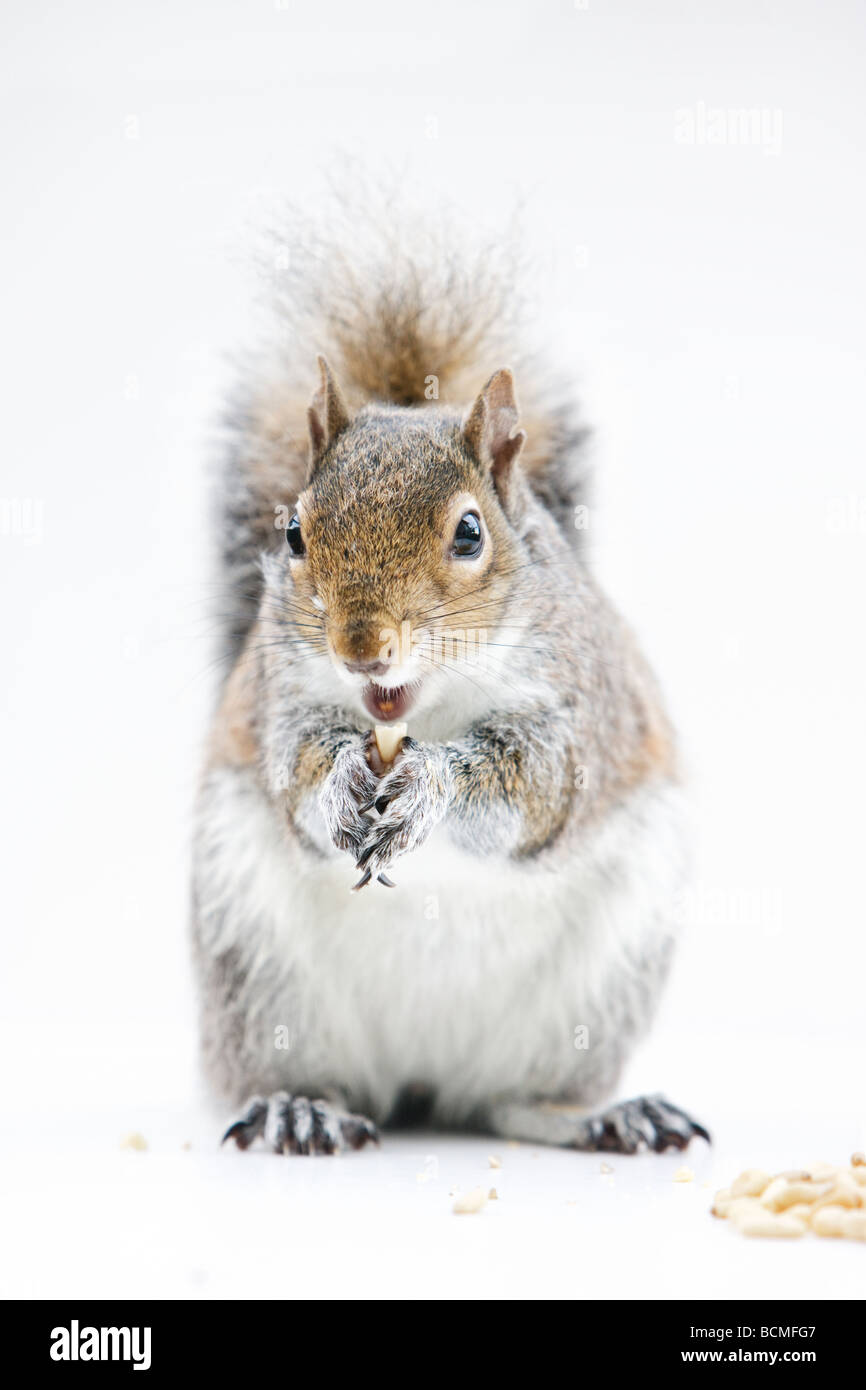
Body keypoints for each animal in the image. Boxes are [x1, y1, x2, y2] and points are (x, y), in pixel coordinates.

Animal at [192, 209, 709, 1157]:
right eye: (293, 531)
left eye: (470, 534)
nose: (362, 645)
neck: (424, 709)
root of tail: (423, 1080)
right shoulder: (280, 700)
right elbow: (293, 769)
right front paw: (342, 786)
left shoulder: (575, 715)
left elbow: (533, 785)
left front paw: (429, 786)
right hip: (257, 970)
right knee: (314, 1072)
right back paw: (300, 1106)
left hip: (593, 995)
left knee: (515, 1103)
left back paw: (605, 1116)